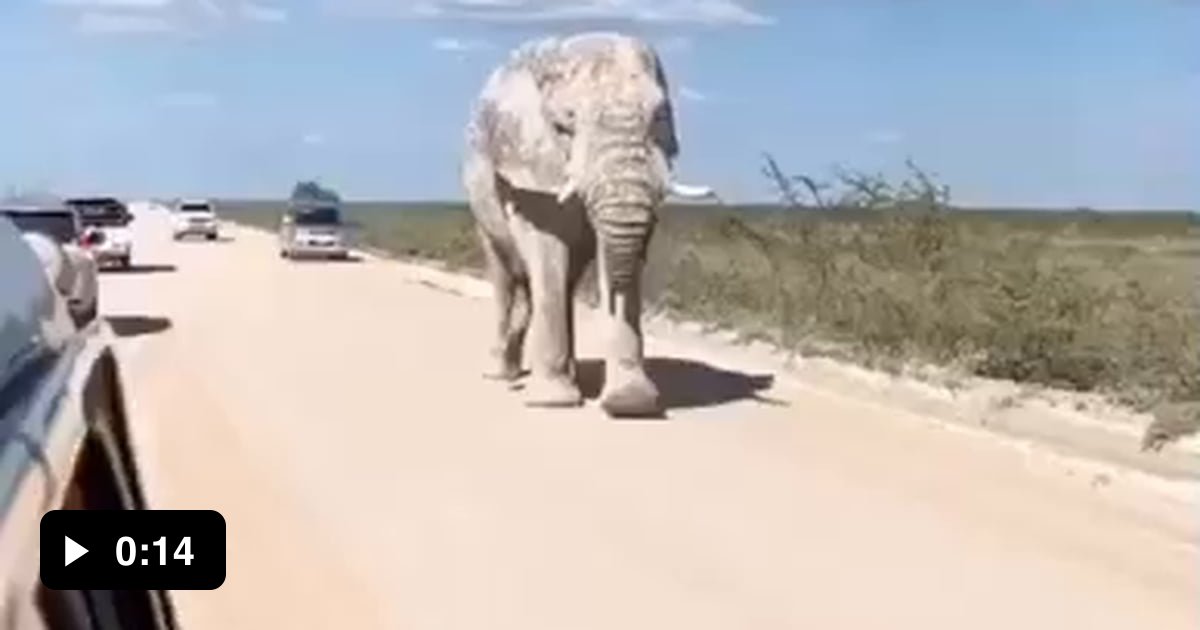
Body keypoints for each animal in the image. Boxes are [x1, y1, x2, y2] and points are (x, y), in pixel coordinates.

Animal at [461, 31, 716, 417]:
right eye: (565, 125)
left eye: (660, 116)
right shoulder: (529, 166)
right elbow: (548, 247)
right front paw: (553, 402)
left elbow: (610, 253)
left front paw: (630, 403)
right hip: (481, 205)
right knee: (505, 275)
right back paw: (503, 375)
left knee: (563, 282)